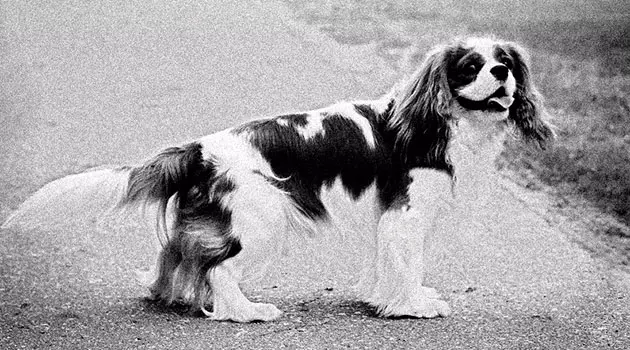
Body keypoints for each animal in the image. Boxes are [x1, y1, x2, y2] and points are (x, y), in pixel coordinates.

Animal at [3, 37, 556, 322]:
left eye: (506, 62)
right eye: (471, 66)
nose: (501, 74)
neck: (439, 122)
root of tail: (200, 148)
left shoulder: (385, 216)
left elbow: (384, 263)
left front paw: (381, 299)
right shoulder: (406, 214)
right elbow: (409, 266)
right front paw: (413, 306)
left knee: (176, 254)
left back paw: (173, 296)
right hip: (263, 222)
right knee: (217, 269)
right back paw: (245, 312)